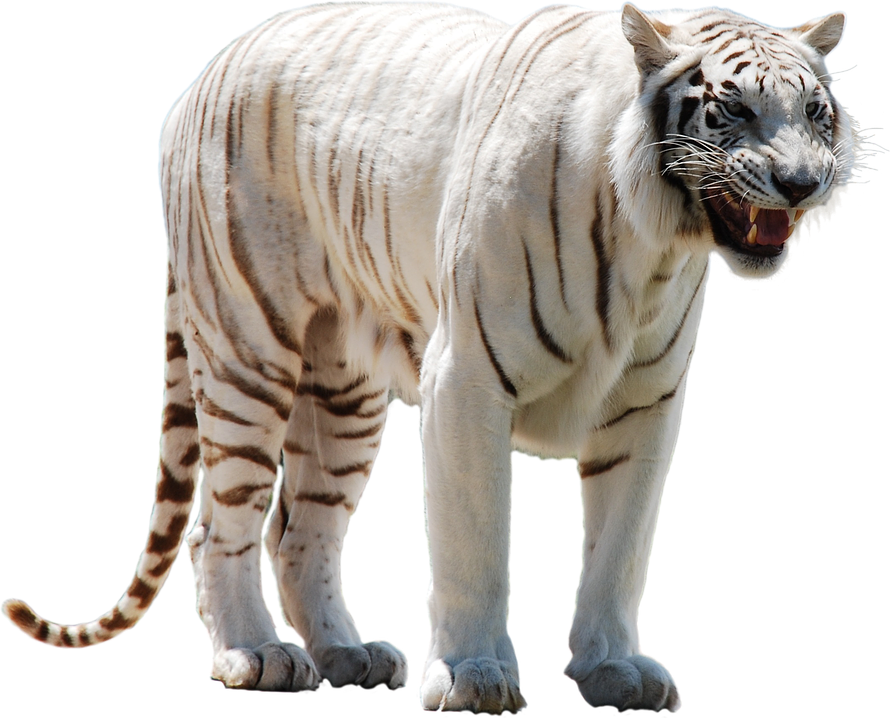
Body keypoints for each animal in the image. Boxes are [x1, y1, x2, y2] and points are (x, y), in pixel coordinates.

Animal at [2, 1, 882, 713]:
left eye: (815, 110)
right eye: (732, 108)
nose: (802, 182)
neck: (653, 243)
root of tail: (208, 71)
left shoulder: (645, 403)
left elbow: (622, 545)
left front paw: (613, 669)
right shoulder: (468, 378)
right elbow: (475, 540)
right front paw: (473, 678)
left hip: (342, 393)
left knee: (299, 530)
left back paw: (347, 655)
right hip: (248, 347)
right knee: (220, 524)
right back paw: (256, 654)